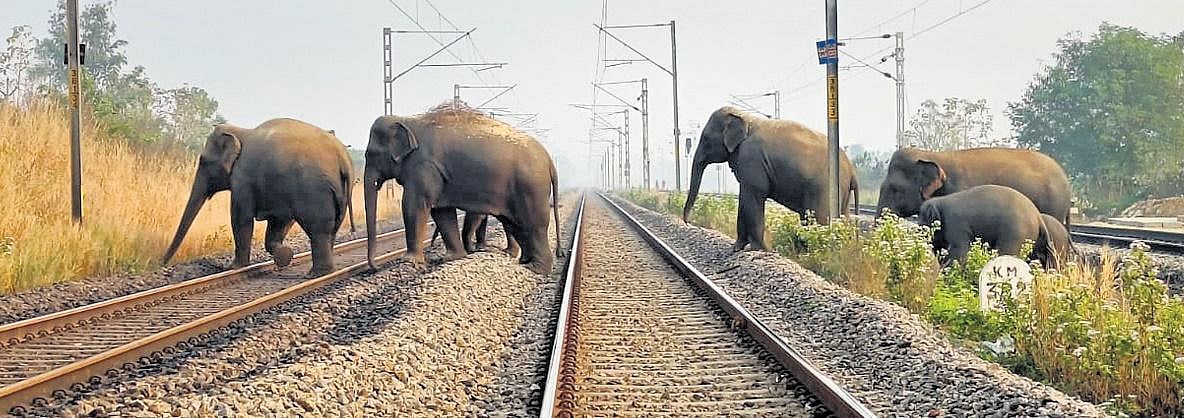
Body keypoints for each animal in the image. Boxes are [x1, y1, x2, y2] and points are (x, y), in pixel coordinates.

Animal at [162, 118, 356, 276]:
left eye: (203, 161)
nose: (163, 265)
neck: (241, 131)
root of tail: (343, 159)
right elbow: (280, 221)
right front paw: (285, 255)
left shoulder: (243, 178)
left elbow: (240, 218)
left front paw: (234, 268)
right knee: (331, 229)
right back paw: (323, 272)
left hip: (314, 192)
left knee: (319, 230)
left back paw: (316, 274)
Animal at [363, 106, 561, 274]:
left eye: (371, 154)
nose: (376, 267)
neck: (407, 120)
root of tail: (549, 161)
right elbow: (441, 212)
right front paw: (452, 258)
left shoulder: (424, 167)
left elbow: (414, 205)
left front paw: (409, 262)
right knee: (517, 225)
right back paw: (523, 262)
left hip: (531, 187)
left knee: (533, 224)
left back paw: (535, 269)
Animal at [684, 106, 858, 252]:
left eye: (706, 139)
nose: (689, 222)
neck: (745, 117)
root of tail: (852, 172)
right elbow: (744, 198)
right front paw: (736, 248)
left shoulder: (751, 158)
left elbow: (754, 195)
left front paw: (756, 249)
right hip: (842, 193)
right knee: (841, 217)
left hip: (825, 188)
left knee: (819, 218)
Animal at [918, 185, 1060, 269]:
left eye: (922, 217)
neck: (940, 200)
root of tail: (1038, 217)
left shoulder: (955, 223)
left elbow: (959, 250)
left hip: (1017, 233)